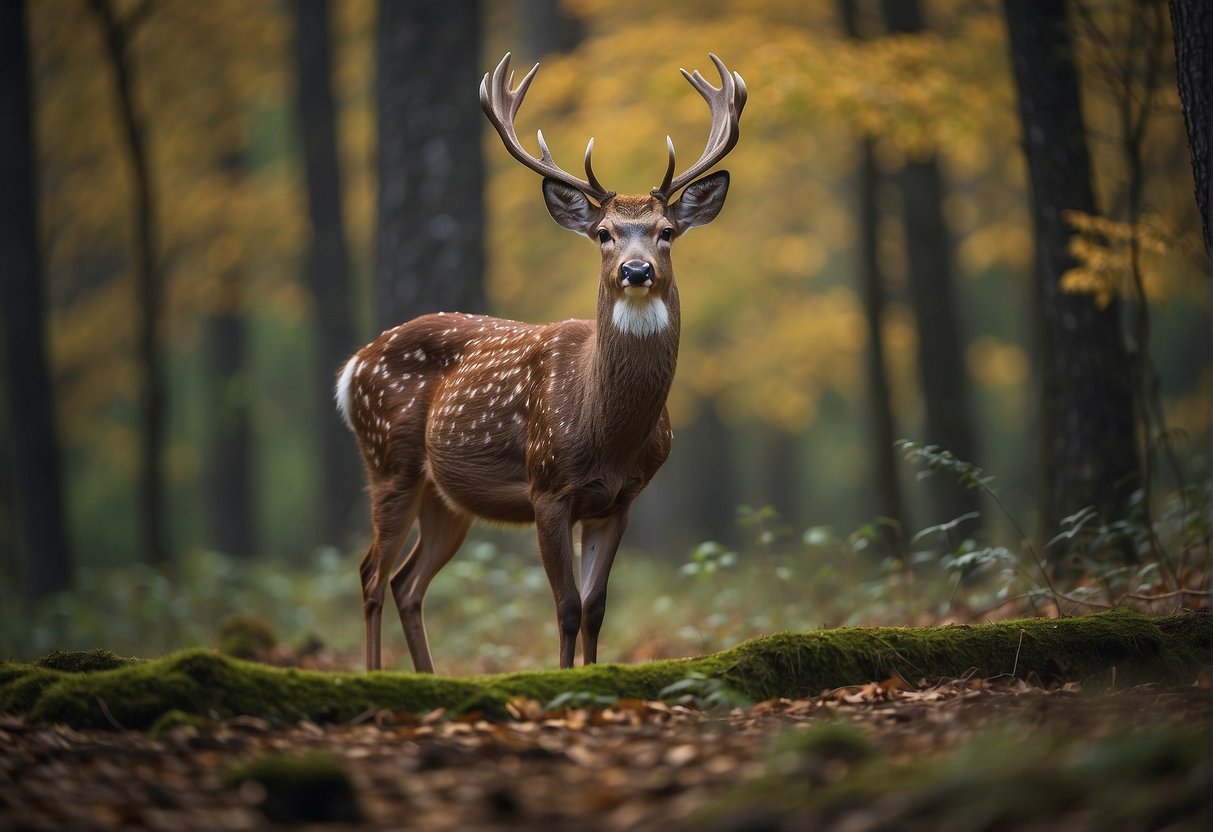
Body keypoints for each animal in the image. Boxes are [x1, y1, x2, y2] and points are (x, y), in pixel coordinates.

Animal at [336, 52, 746, 672]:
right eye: (603, 233)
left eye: (667, 232)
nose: (636, 270)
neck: (607, 432)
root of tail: (352, 366)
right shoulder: (547, 487)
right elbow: (567, 607)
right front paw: (564, 679)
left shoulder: (620, 498)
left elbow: (598, 606)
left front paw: (598, 677)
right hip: (388, 461)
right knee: (369, 574)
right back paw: (378, 676)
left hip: (446, 495)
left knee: (407, 582)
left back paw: (430, 676)